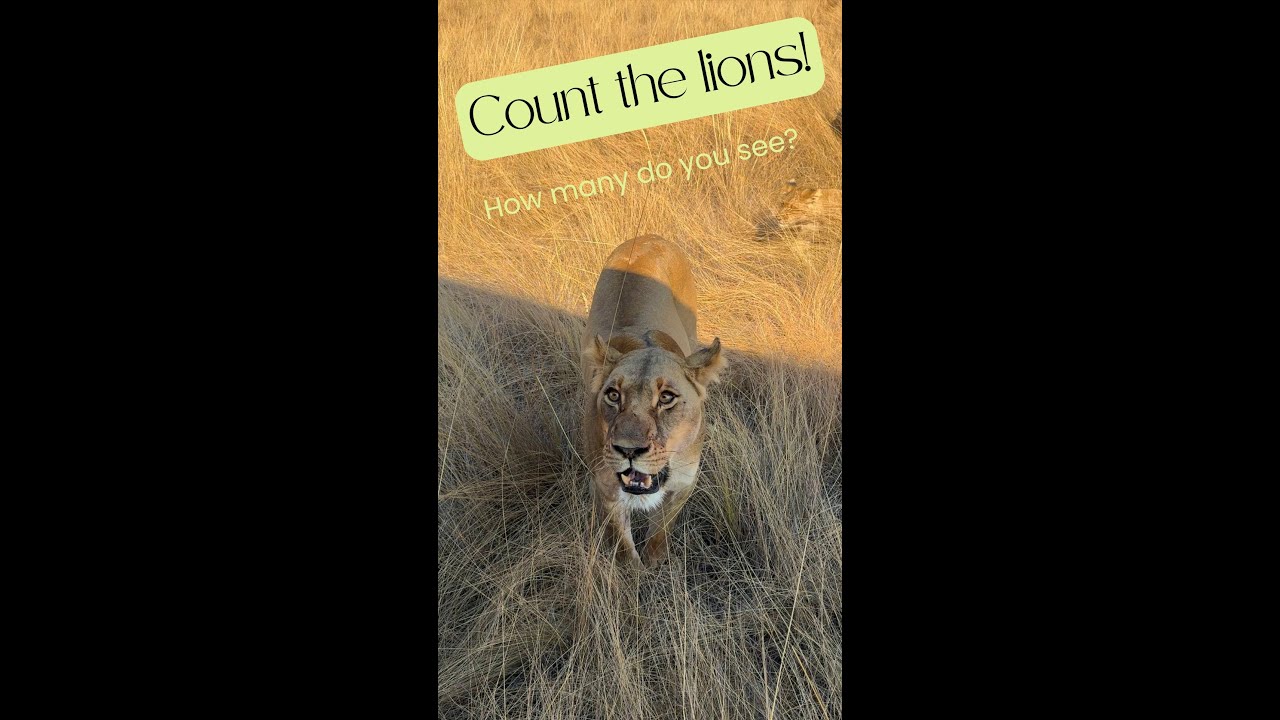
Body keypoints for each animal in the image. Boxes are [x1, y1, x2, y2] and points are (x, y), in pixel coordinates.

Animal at [581, 235, 725, 569]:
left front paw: (656, 563)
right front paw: (634, 573)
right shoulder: (606, 488)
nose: (628, 451)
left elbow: (661, 530)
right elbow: (623, 546)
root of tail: (648, 236)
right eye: (613, 395)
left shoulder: (684, 483)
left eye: (667, 398)